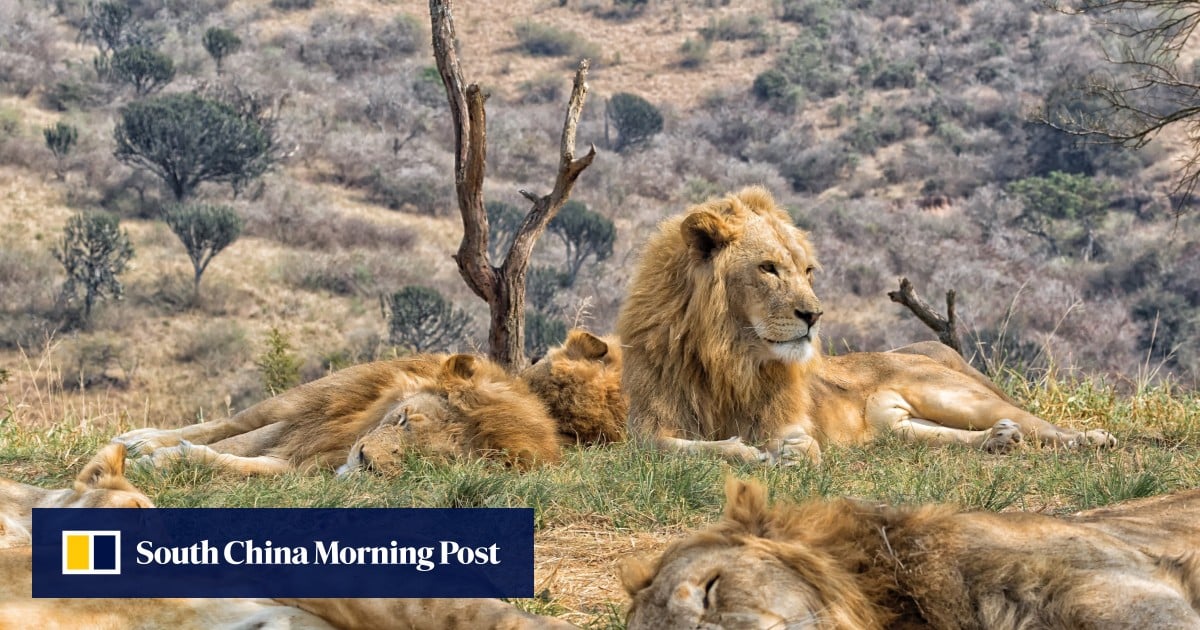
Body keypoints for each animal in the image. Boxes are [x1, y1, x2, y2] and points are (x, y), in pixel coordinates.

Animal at [119, 353, 560, 476]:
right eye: (402, 418)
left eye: (428, 458)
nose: (365, 461)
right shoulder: (303, 424)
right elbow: (234, 438)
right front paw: (152, 456)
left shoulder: (294, 466)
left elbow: (229, 459)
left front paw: (164, 461)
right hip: (309, 395)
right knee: (233, 421)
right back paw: (137, 439)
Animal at [616, 187, 1114, 464]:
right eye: (769, 269)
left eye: (808, 271)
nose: (814, 316)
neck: (728, 356)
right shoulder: (647, 426)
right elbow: (666, 447)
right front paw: (742, 451)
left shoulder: (786, 417)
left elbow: (798, 443)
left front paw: (788, 454)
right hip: (901, 429)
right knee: (948, 438)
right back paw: (998, 442)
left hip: (957, 396)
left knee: (1040, 425)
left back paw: (1089, 439)